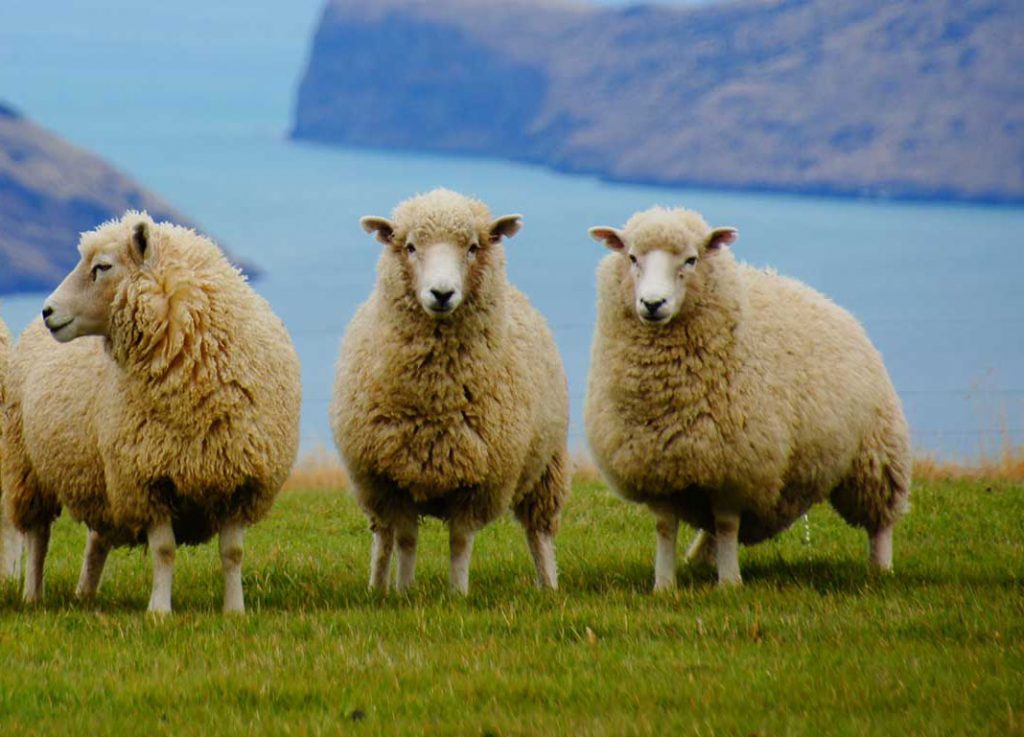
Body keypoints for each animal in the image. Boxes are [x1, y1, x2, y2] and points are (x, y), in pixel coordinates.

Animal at [1, 212, 301, 612]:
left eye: (102, 266)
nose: (48, 310)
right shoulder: (148, 478)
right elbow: (164, 550)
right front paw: (159, 610)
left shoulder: (238, 479)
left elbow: (233, 553)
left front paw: (234, 610)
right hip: (29, 467)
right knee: (38, 537)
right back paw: (33, 595)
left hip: (101, 477)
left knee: (97, 540)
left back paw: (86, 594)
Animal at [331, 188, 570, 594]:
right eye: (410, 247)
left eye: (473, 247)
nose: (441, 293)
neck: (436, 397)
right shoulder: (392, 480)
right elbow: (406, 539)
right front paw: (404, 591)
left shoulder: (479, 481)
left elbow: (460, 542)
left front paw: (457, 593)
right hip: (371, 488)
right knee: (383, 537)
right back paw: (377, 586)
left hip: (547, 466)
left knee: (539, 533)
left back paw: (549, 585)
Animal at [585, 206, 910, 588]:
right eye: (632, 257)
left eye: (691, 259)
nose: (652, 304)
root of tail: (822, 299)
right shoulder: (658, 465)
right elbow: (665, 527)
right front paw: (664, 585)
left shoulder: (738, 465)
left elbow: (727, 525)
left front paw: (729, 584)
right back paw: (701, 559)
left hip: (875, 452)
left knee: (881, 520)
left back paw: (881, 568)